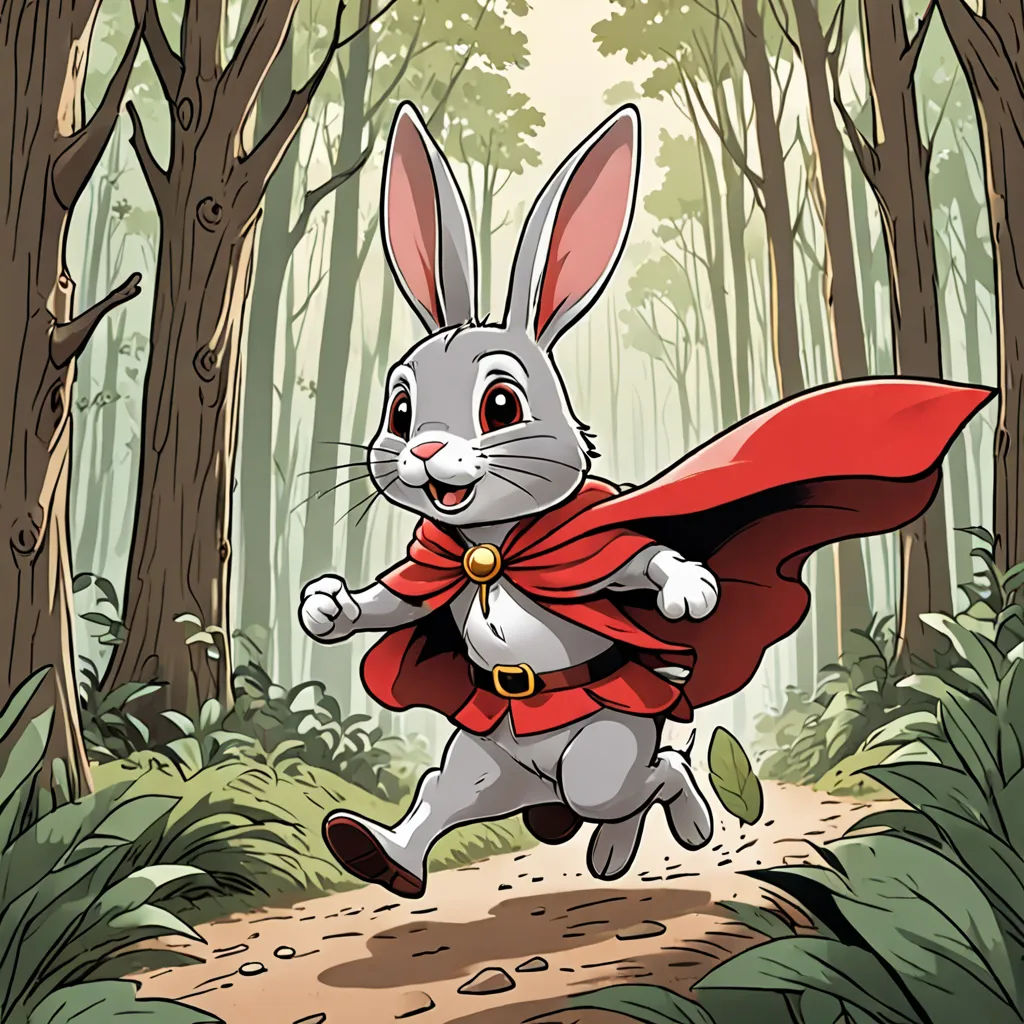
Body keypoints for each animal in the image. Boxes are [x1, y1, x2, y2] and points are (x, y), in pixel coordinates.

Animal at [299, 101, 718, 898]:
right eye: (400, 410)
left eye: (501, 405)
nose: (422, 451)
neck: (494, 545)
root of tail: (539, 782)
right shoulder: (436, 557)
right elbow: (396, 600)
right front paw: (328, 608)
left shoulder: (586, 539)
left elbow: (639, 558)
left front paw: (687, 586)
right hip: (487, 754)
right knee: (444, 793)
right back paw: (377, 854)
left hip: (604, 750)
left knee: (640, 776)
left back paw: (672, 827)